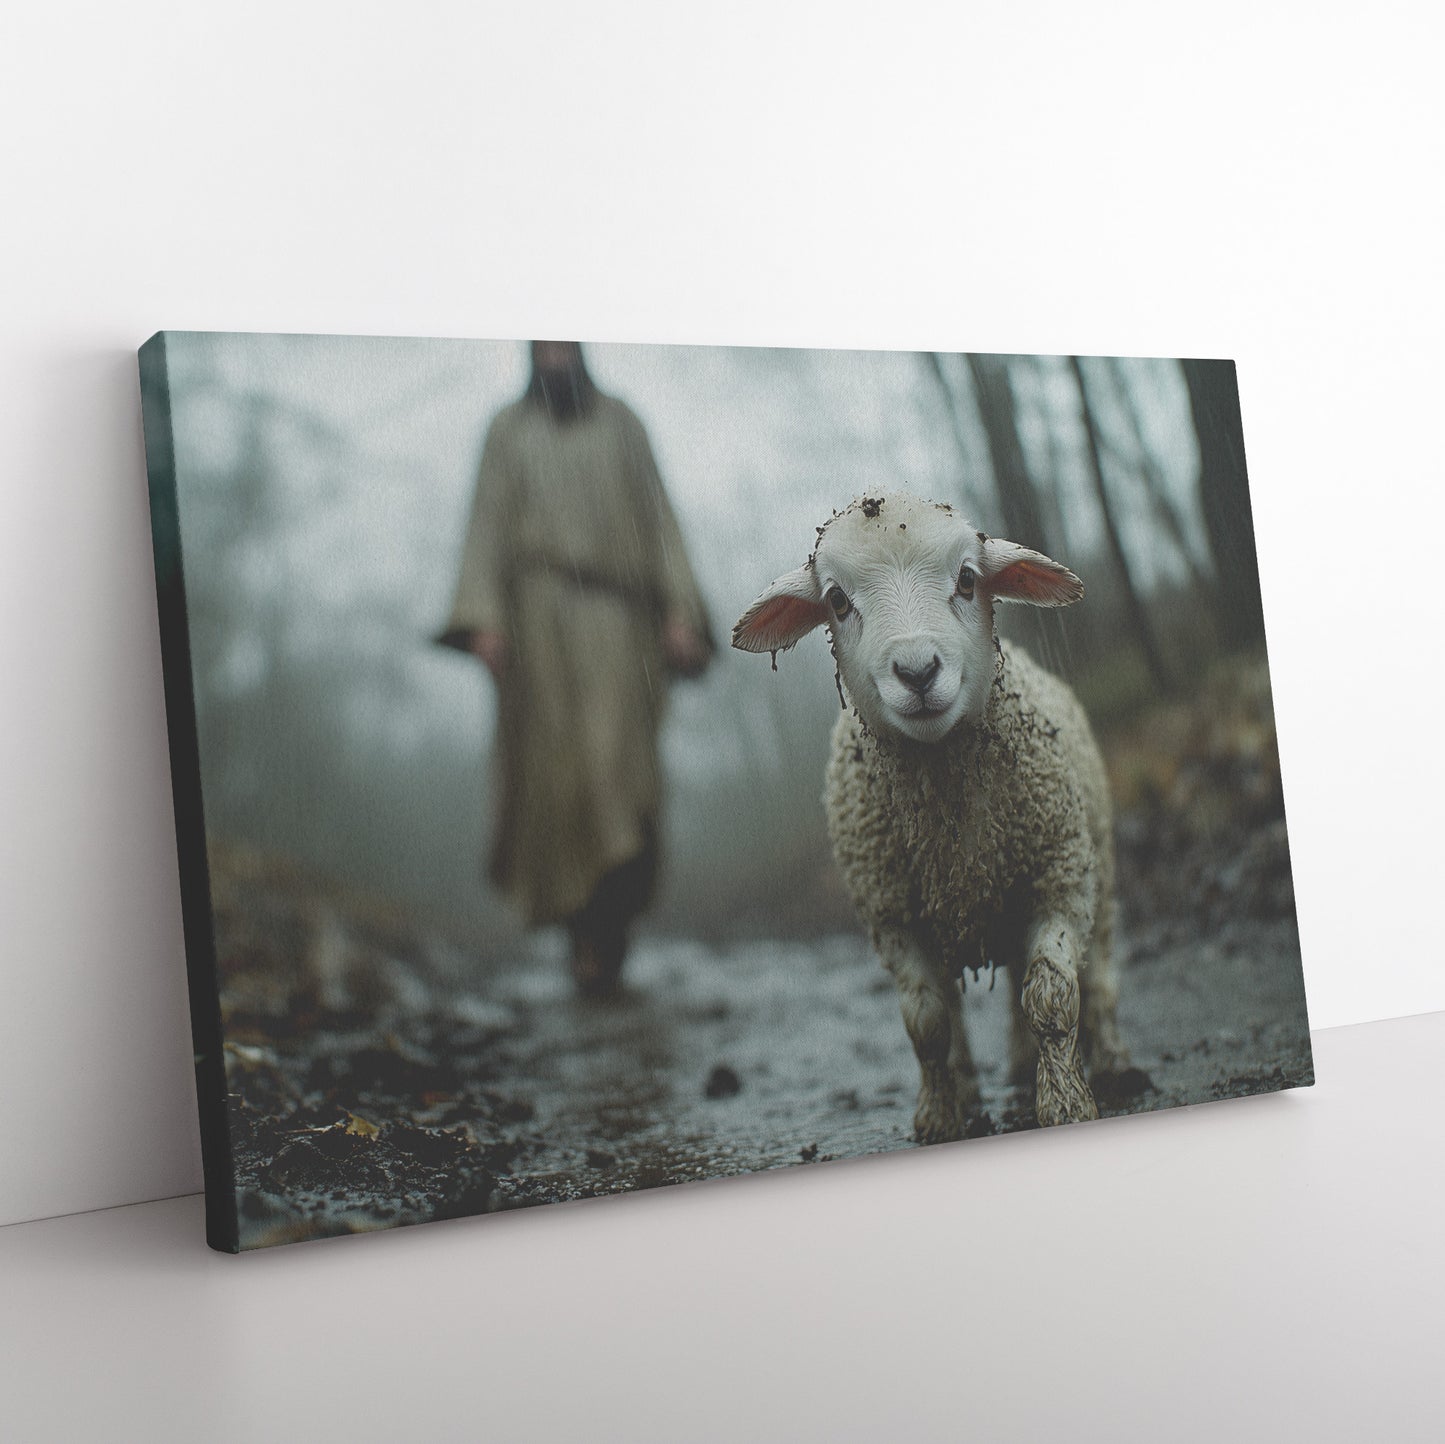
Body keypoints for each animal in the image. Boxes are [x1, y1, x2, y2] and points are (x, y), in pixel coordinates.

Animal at [732, 491, 1143, 1141]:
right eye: (837, 600)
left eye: (968, 579)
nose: (918, 672)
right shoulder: (894, 914)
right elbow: (926, 1021)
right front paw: (938, 1117)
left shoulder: (1058, 878)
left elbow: (1051, 997)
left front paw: (1066, 1105)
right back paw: (982, 1081)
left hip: (1095, 865)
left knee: (1097, 971)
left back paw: (1113, 1063)